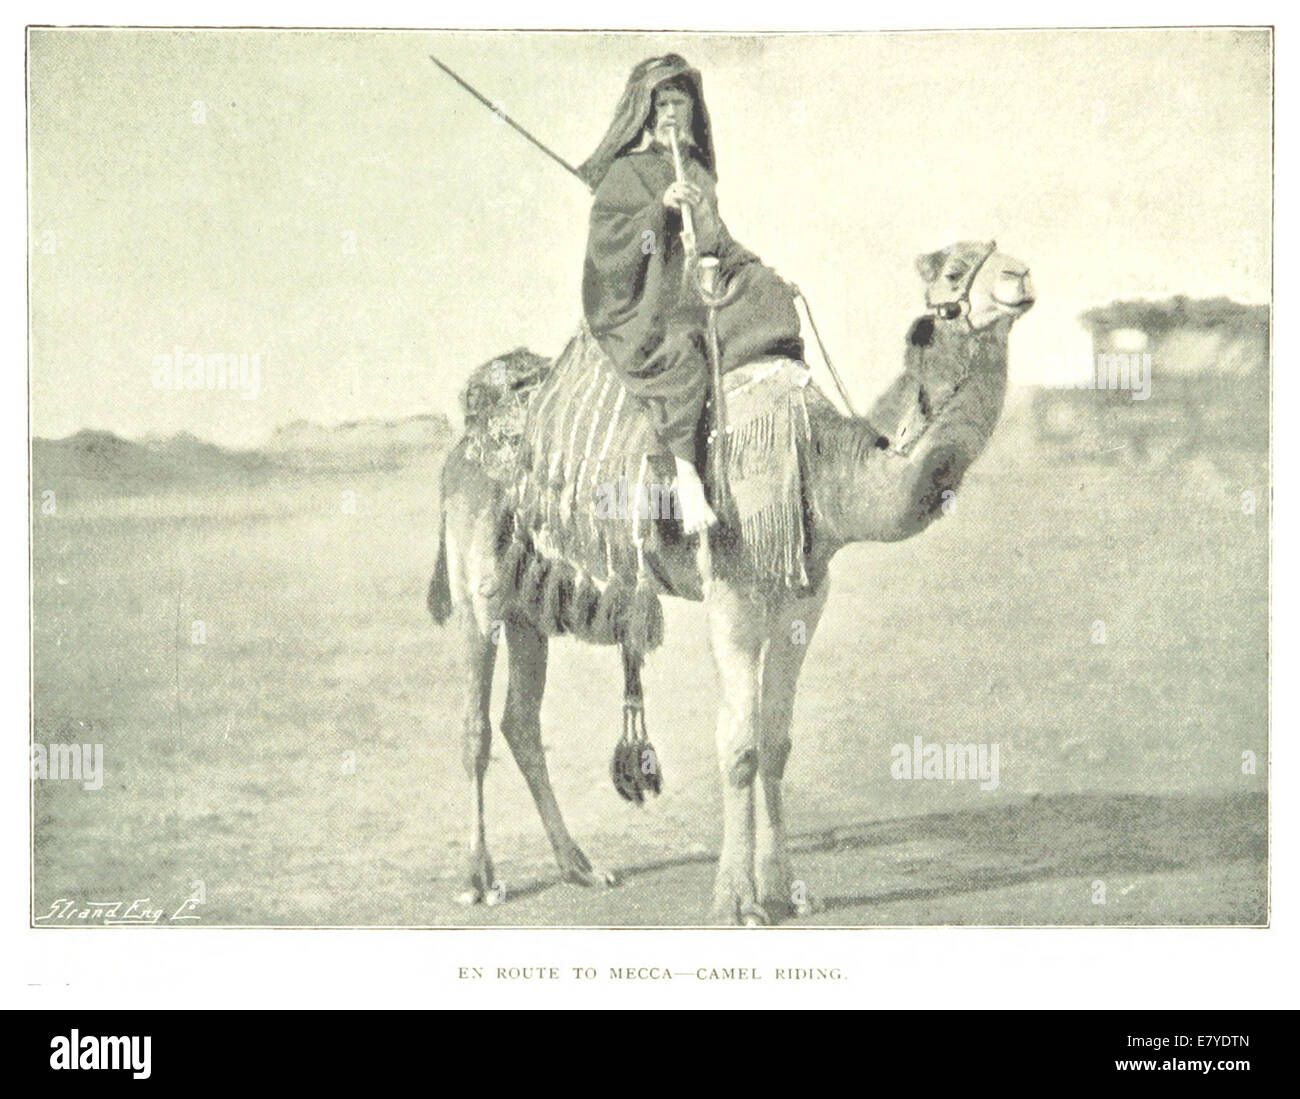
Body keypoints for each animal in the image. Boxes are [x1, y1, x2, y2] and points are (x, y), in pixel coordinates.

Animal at [429, 240, 1035, 924]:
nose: (1020, 276)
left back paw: (581, 867)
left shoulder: (805, 595)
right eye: (956, 271)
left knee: (521, 722)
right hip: (479, 582)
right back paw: (481, 878)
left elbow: (775, 741)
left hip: (531, 602)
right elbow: (739, 746)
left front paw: (785, 888)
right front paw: (736, 900)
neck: (821, 466)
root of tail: (467, 439)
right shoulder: (733, 592)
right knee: (476, 725)